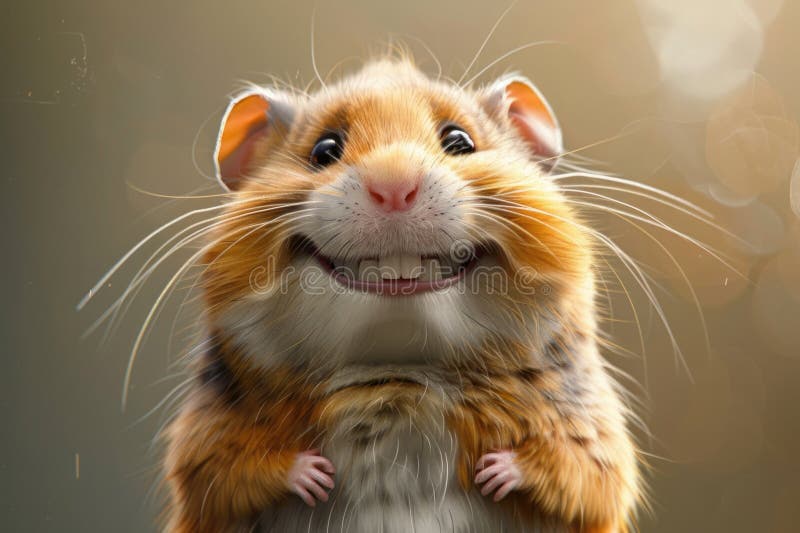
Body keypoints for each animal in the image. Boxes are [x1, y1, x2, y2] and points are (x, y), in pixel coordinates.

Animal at [162, 56, 642, 532]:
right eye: (324, 150)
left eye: (459, 141)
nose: (394, 188)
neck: (399, 376)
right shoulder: (203, 451)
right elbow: (232, 471)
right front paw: (315, 476)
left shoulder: (595, 444)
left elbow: (580, 474)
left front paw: (495, 471)